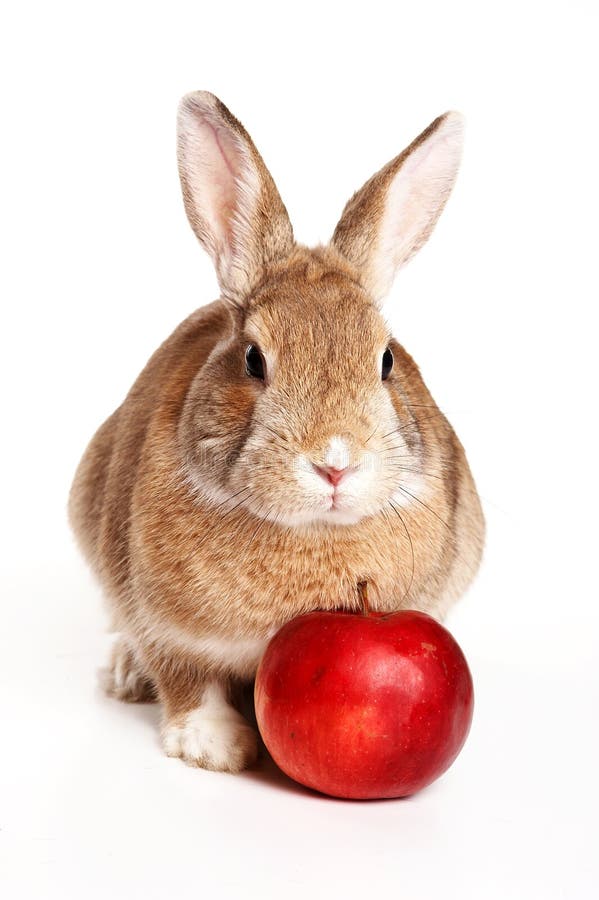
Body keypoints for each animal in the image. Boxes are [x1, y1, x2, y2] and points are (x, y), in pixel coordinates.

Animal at [68, 91, 485, 773]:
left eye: (387, 359)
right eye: (253, 360)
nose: (336, 462)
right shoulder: (165, 626)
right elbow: (187, 681)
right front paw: (214, 746)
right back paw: (126, 675)